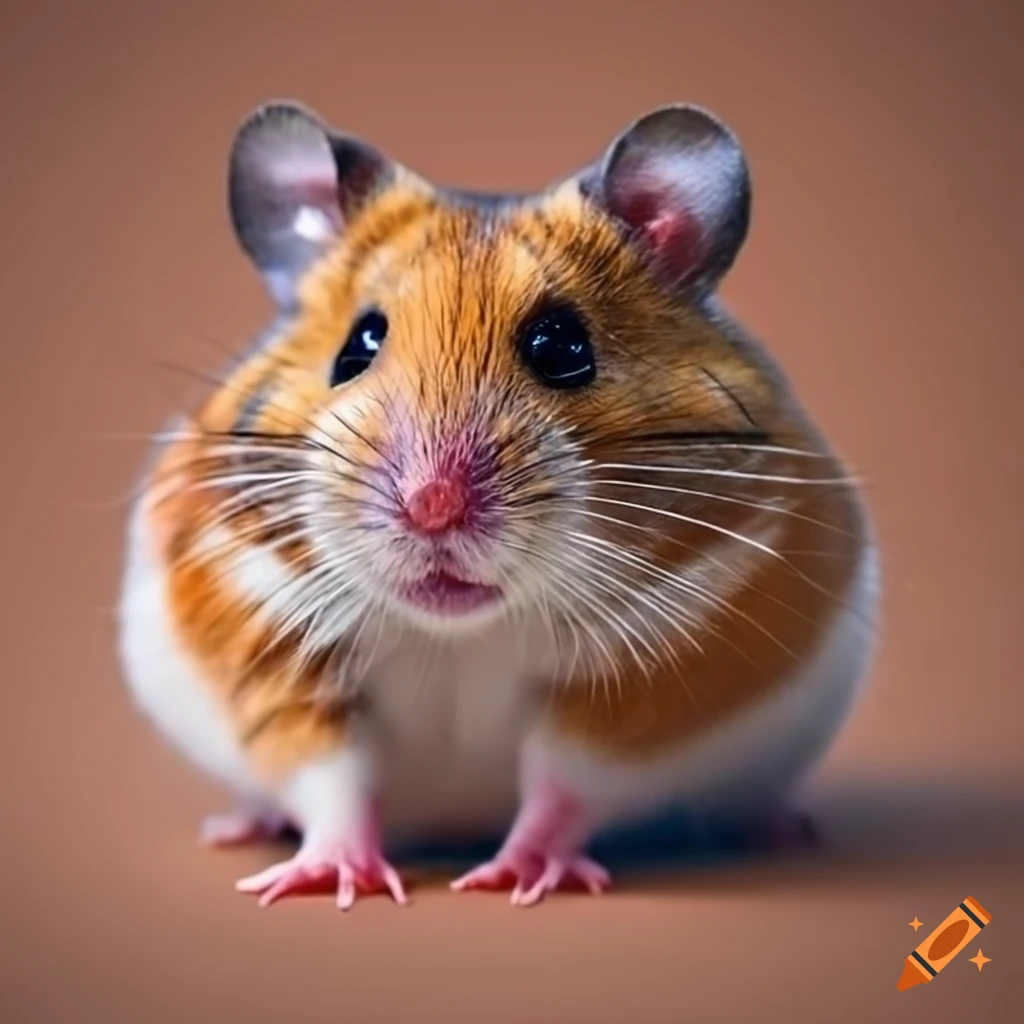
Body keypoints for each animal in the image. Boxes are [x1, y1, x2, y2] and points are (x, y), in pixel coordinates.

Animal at [117, 99, 879, 909]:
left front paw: (512, 878)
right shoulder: (282, 669)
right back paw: (235, 828)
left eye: (562, 347)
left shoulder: (642, 690)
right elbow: (334, 783)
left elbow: (562, 790)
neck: (458, 633)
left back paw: (783, 830)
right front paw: (328, 879)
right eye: (357, 345)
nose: (432, 508)